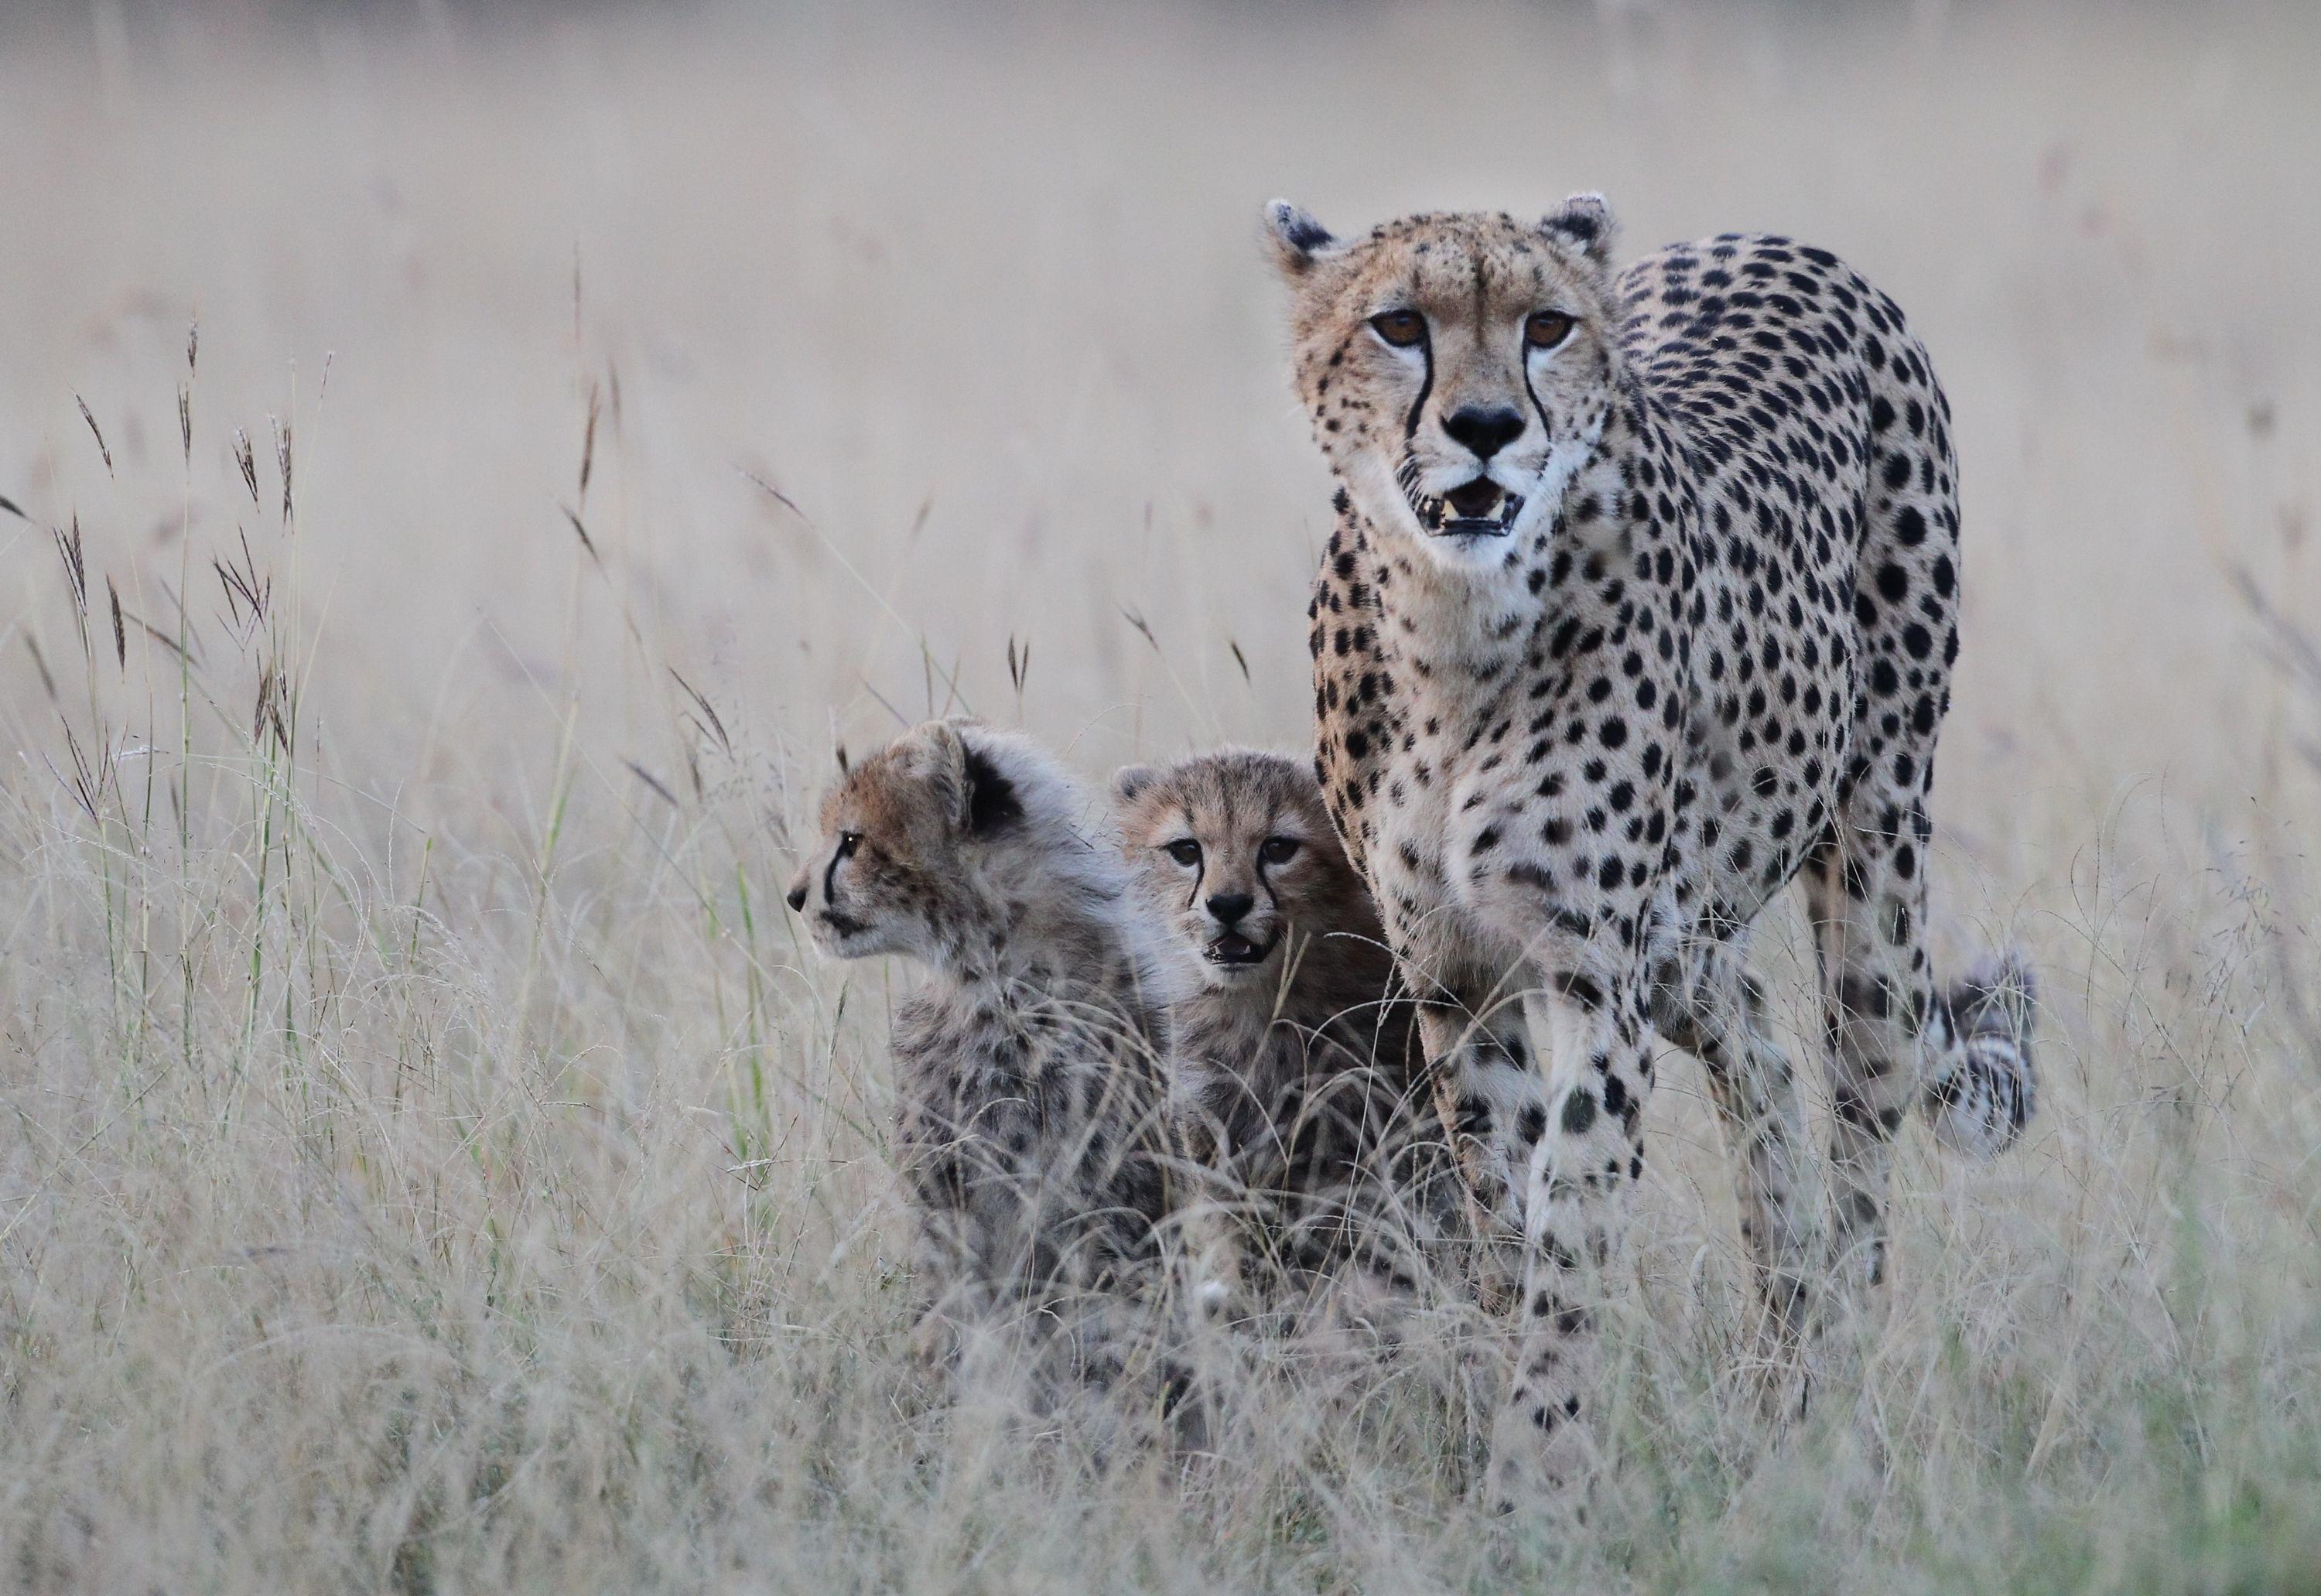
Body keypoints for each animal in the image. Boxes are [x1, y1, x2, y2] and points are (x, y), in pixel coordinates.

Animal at [1264, 192, 2039, 1511]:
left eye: (1548, 326)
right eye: (1400, 324)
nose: (1486, 429)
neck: (1453, 626)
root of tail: (1779, 242)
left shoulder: (1592, 975)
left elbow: (1571, 1232)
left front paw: (1534, 1484)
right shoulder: (1457, 977)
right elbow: (1507, 1220)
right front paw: (1520, 1441)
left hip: (1872, 865)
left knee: (1863, 1120)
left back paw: (1832, 1398)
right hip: (1683, 936)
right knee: (1758, 1051)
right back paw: (1779, 1343)